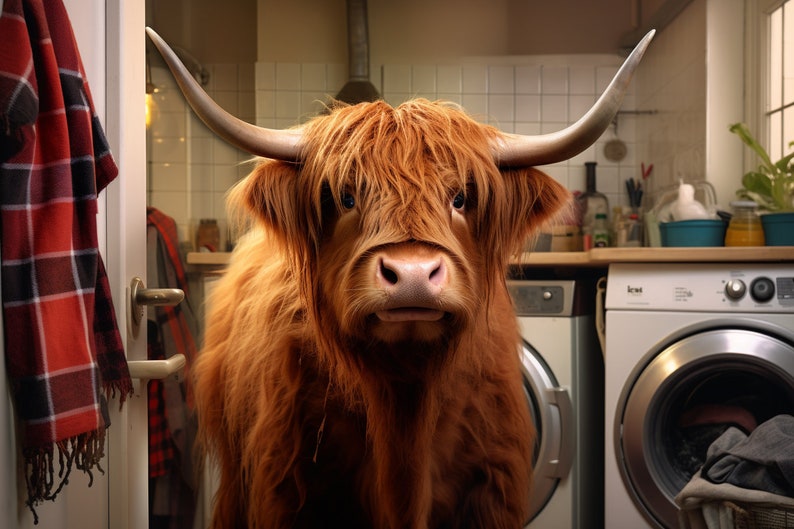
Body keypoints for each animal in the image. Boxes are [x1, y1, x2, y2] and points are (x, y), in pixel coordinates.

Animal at [146, 27, 653, 529]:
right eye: (346, 197)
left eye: (460, 197)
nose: (412, 274)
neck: (404, 400)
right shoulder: (285, 487)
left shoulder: (491, 487)